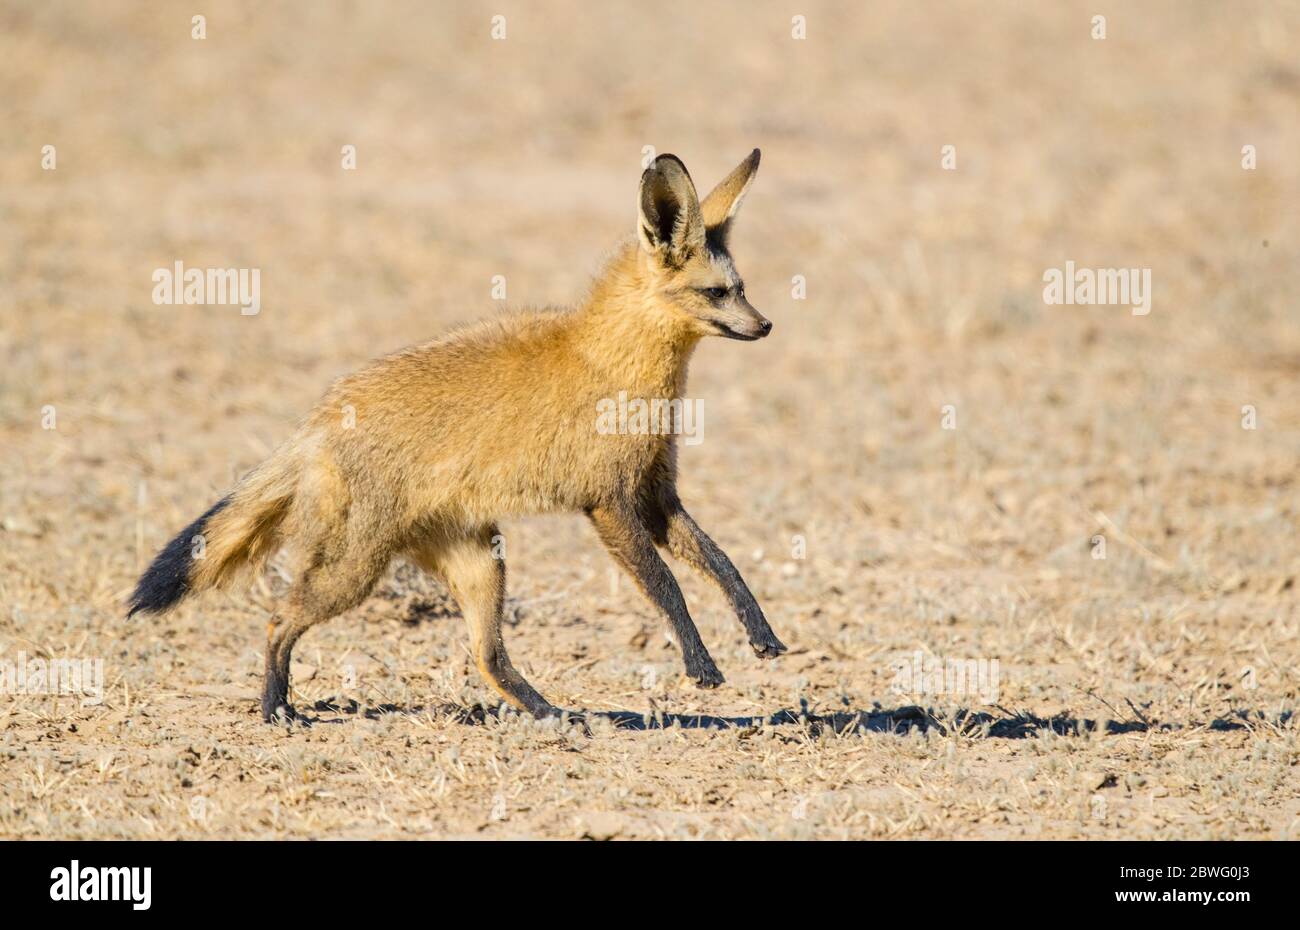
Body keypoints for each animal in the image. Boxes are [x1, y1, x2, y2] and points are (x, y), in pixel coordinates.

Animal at [129, 149, 787, 722]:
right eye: (716, 292)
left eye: (743, 287)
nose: (766, 326)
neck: (614, 364)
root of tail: (316, 420)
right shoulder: (607, 503)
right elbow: (669, 587)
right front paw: (701, 665)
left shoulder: (655, 495)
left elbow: (724, 564)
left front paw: (761, 634)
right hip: (354, 574)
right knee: (276, 622)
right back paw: (275, 710)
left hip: (479, 564)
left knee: (488, 657)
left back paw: (555, 716)